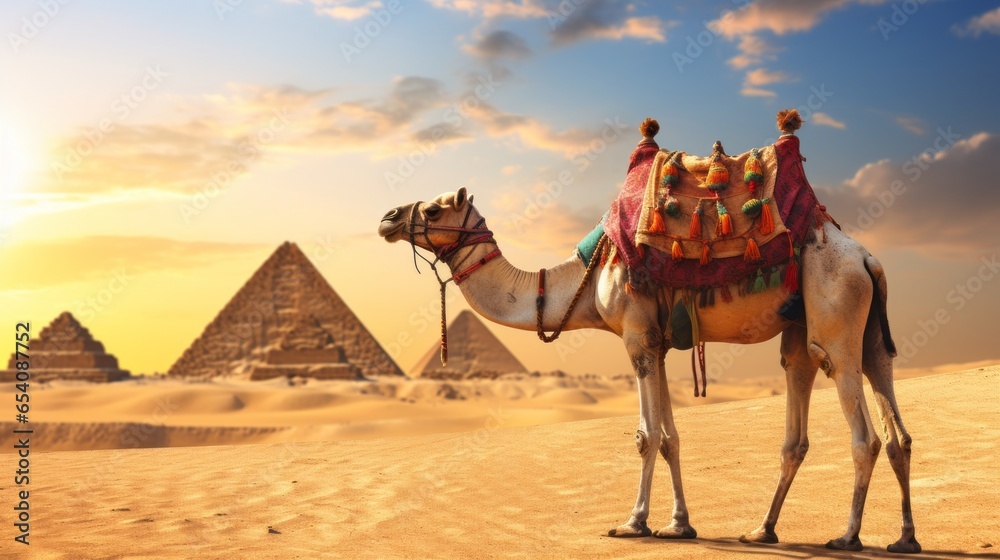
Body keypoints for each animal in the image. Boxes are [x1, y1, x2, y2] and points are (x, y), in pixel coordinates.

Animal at [377, 183, 920, 553]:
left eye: (433, 208)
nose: (387, 217)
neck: (585, 278)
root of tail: (868, 258)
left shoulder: (636, 335)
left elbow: (645, 436)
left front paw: (633, 523)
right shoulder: (655, 344)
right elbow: (671, 437)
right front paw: (679, 525)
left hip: (835, 315)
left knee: (863, 431)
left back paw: (847, 536)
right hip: (855, 332)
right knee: (885, 423)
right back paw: (867, 536)